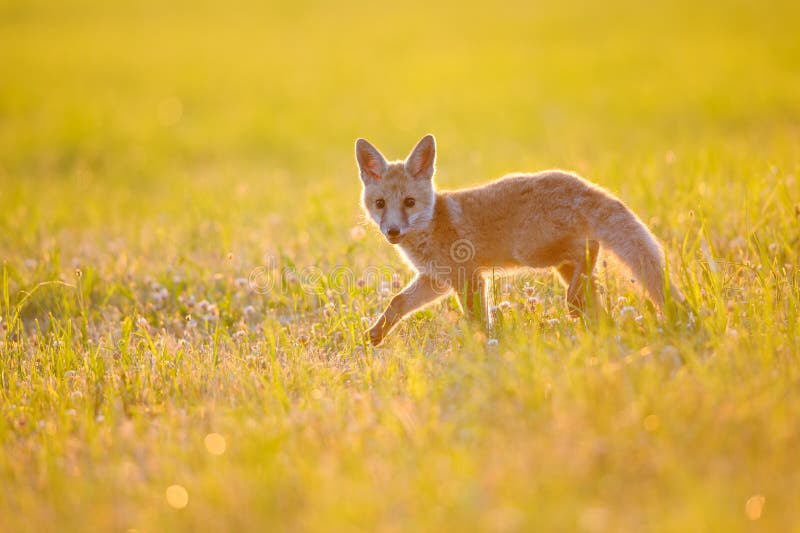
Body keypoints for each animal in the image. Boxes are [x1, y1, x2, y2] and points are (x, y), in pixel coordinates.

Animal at [356, 134, 683, 346]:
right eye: (380, 204)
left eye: (409, 202)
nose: (393, 231)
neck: (431, 226)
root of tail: (581, 184)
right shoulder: (436, 280)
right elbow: (398, 302)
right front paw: (376, 333)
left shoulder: (468, 278)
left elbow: (477, 319)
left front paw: (483, 347)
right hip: (558, 263)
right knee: (591, 284)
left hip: (533, 252)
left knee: (589, 248)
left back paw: (576, 304)